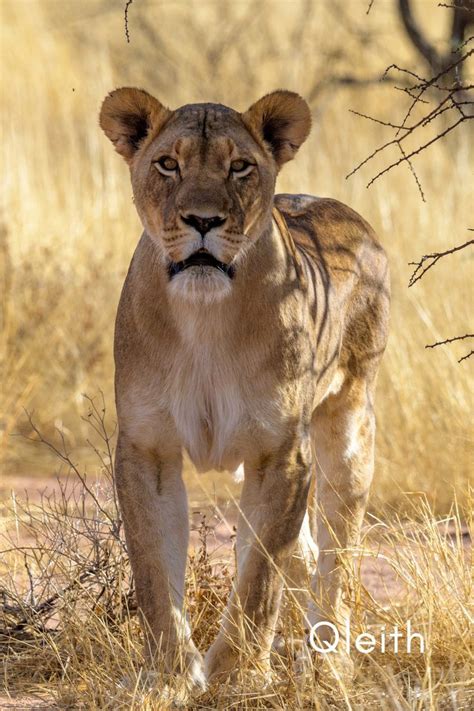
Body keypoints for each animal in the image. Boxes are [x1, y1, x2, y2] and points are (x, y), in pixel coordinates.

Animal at [99, 87, 390, 692]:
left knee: (337, 548)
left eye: (240, 167)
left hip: (350, 425)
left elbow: (260, 575)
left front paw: (236, 674)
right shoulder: (147, 448)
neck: (205, 316)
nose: (203, 220)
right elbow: (154, 569)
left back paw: (329, 659)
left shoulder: (281, 453)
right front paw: (171, 674)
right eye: (169, 164)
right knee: (302, 548)